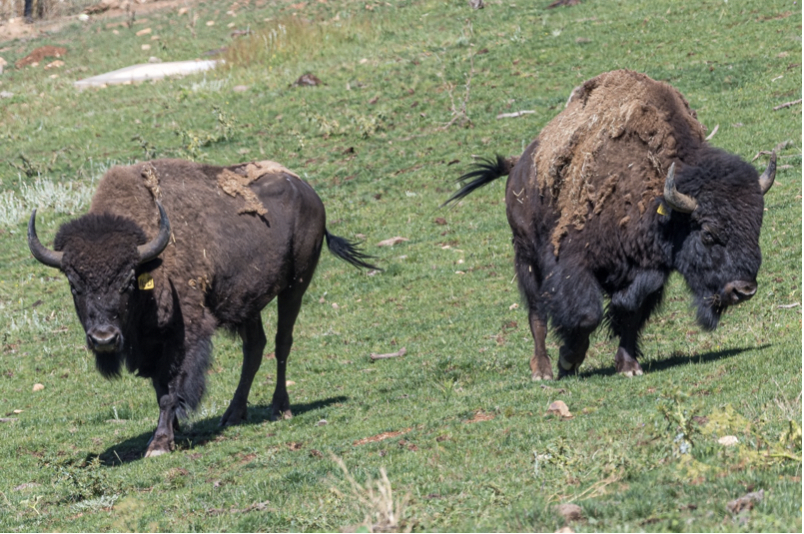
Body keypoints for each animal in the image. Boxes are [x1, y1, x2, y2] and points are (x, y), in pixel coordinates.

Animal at [29, 159, 377, 456]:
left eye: (127, 281)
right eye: (75, 285)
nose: (104, 339)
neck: (150, 262)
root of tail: (308, 191)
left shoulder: (186, 333)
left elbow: (171, 388)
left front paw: (160, 443)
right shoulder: (153, 344)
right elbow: (159, 386)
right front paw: (173, 430)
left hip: (296, 286)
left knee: (282, 343)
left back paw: (281, 408)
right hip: (249, 301)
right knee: (255, 347)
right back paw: (233, 414)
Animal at [446, 70, 775, 380]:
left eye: (756, 225)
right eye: (707, 233)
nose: (744, 290)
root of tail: (519, 164)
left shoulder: (647, 272)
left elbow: (629, 312)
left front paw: (628, 366)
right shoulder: (573, 261)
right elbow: (586, 314)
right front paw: (569, 359)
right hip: (526, 254)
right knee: (536, 312)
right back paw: (542, 370)